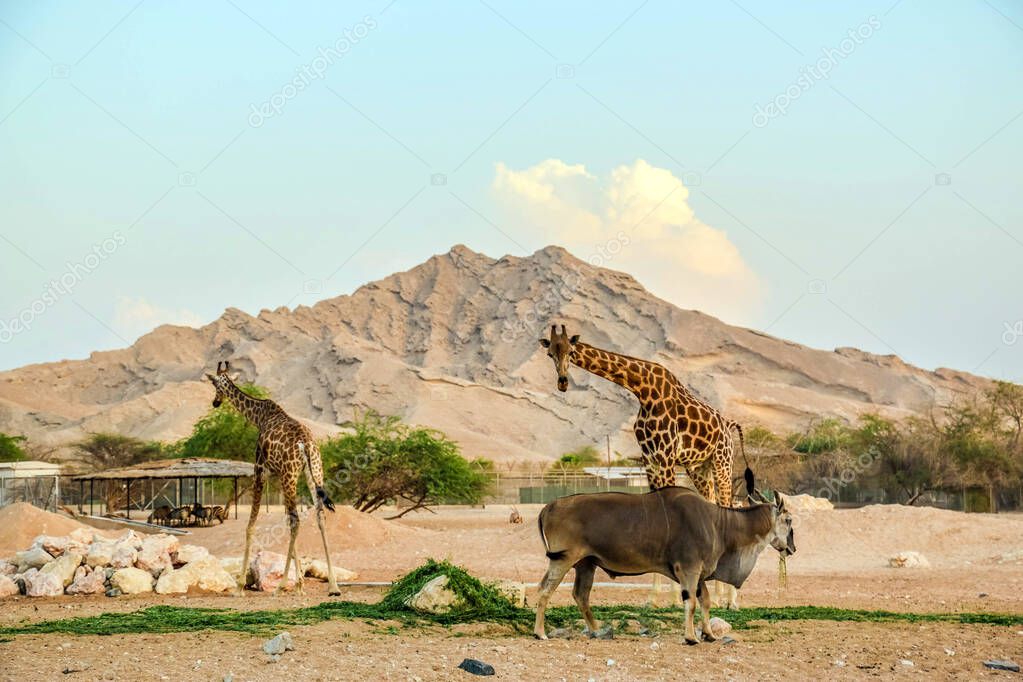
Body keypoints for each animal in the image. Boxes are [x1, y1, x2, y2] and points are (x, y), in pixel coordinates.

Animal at [206, 361, 341, 596]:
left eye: (215, 385)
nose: (215, 402)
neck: (259, 417)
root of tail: (306, 444)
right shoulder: (278, 475)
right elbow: (286, 519)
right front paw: (300, 583)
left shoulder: (260, 470)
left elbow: (251, 524)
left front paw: (239, 586)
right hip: (312, 473)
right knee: (318, 516)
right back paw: (333, 586)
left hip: (291, 475)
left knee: (297, 520)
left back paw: (280, 586)